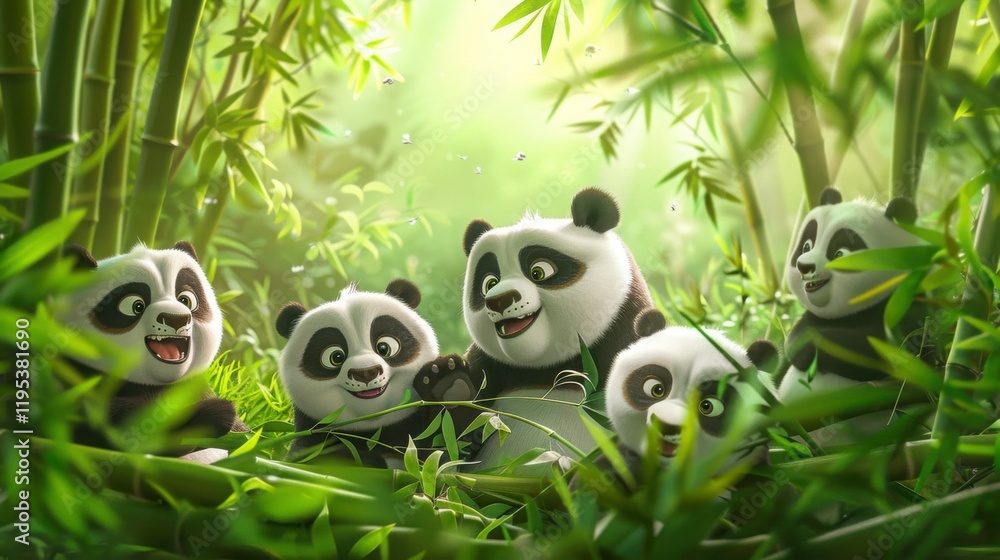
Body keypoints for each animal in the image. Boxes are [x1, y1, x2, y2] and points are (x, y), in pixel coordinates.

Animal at [275, 279, 480, 466]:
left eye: (384, 347)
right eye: (335, 357)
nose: (366, 372)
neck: (373, 430)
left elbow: (451, 446)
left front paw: (446, 380)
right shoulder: (314, 435)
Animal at [778, 187, 928, 403]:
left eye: (839, 253)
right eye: (806, 246)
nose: (804, 266)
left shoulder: (906, 308)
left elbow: (875, 350)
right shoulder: (815, 316)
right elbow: (796, 336)